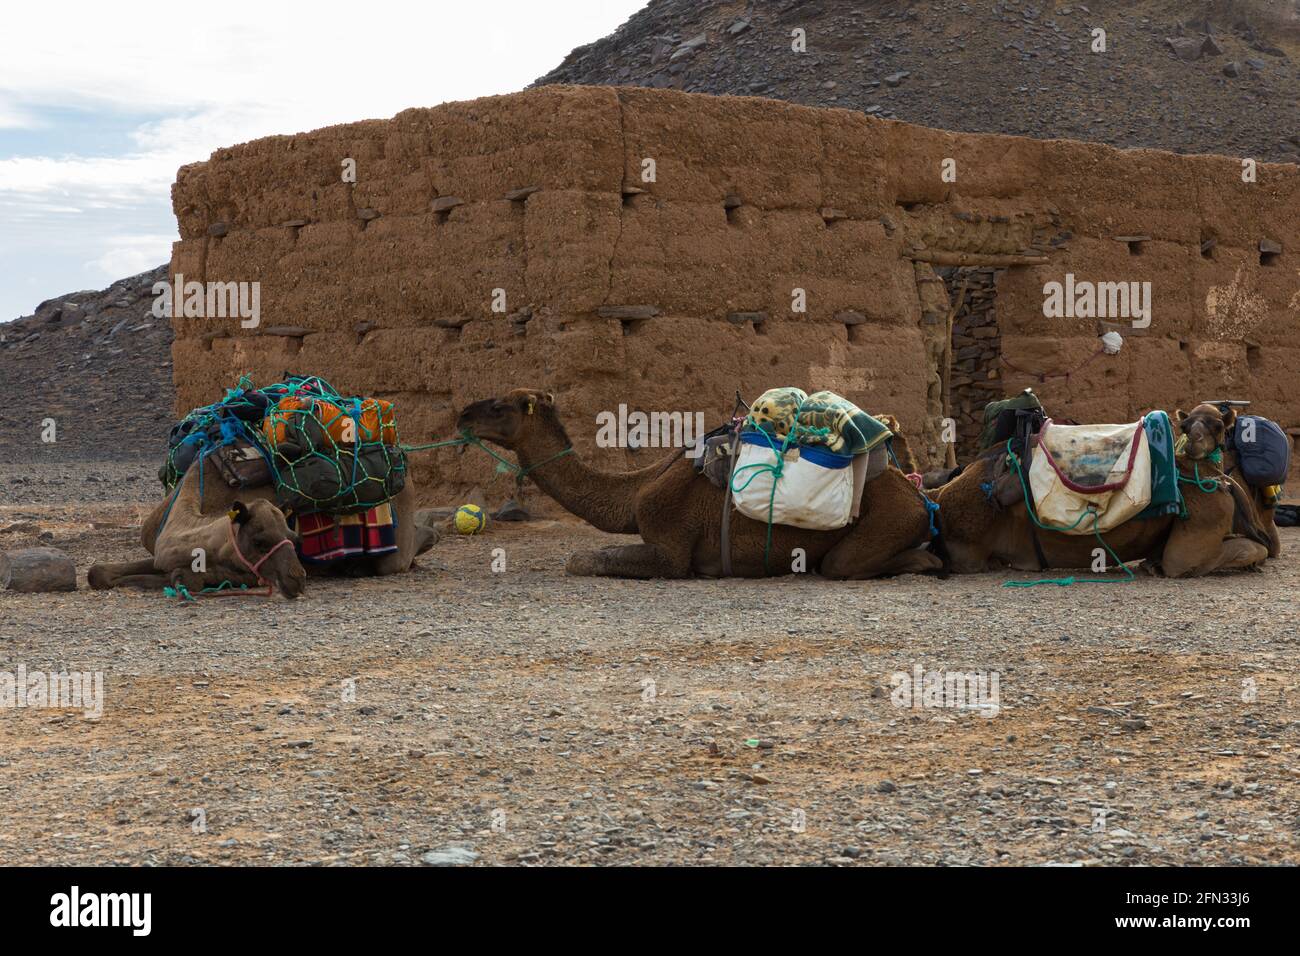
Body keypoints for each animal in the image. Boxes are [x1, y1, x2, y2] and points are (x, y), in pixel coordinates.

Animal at [88, 456, 438, 595]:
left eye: (295, 539)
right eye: (259, 541)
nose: (298, 577)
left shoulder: (249, 570)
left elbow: (187, 576)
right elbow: (98, 572)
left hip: (398, 531)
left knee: (400, 554)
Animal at [456, 388, 942, 579]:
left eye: (500, 407)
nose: (462, 414)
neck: (635, 494)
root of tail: (917, 492)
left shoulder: (670, 548)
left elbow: (579, 559)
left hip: (893, 516)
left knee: (842, 563)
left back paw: (925, 562)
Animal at [933, 403, 1273, 577]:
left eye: (1217, 425)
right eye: (1187, 426)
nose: (1196, 443)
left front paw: (1151, 563)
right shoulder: (1195, 534)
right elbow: (1244, 551)